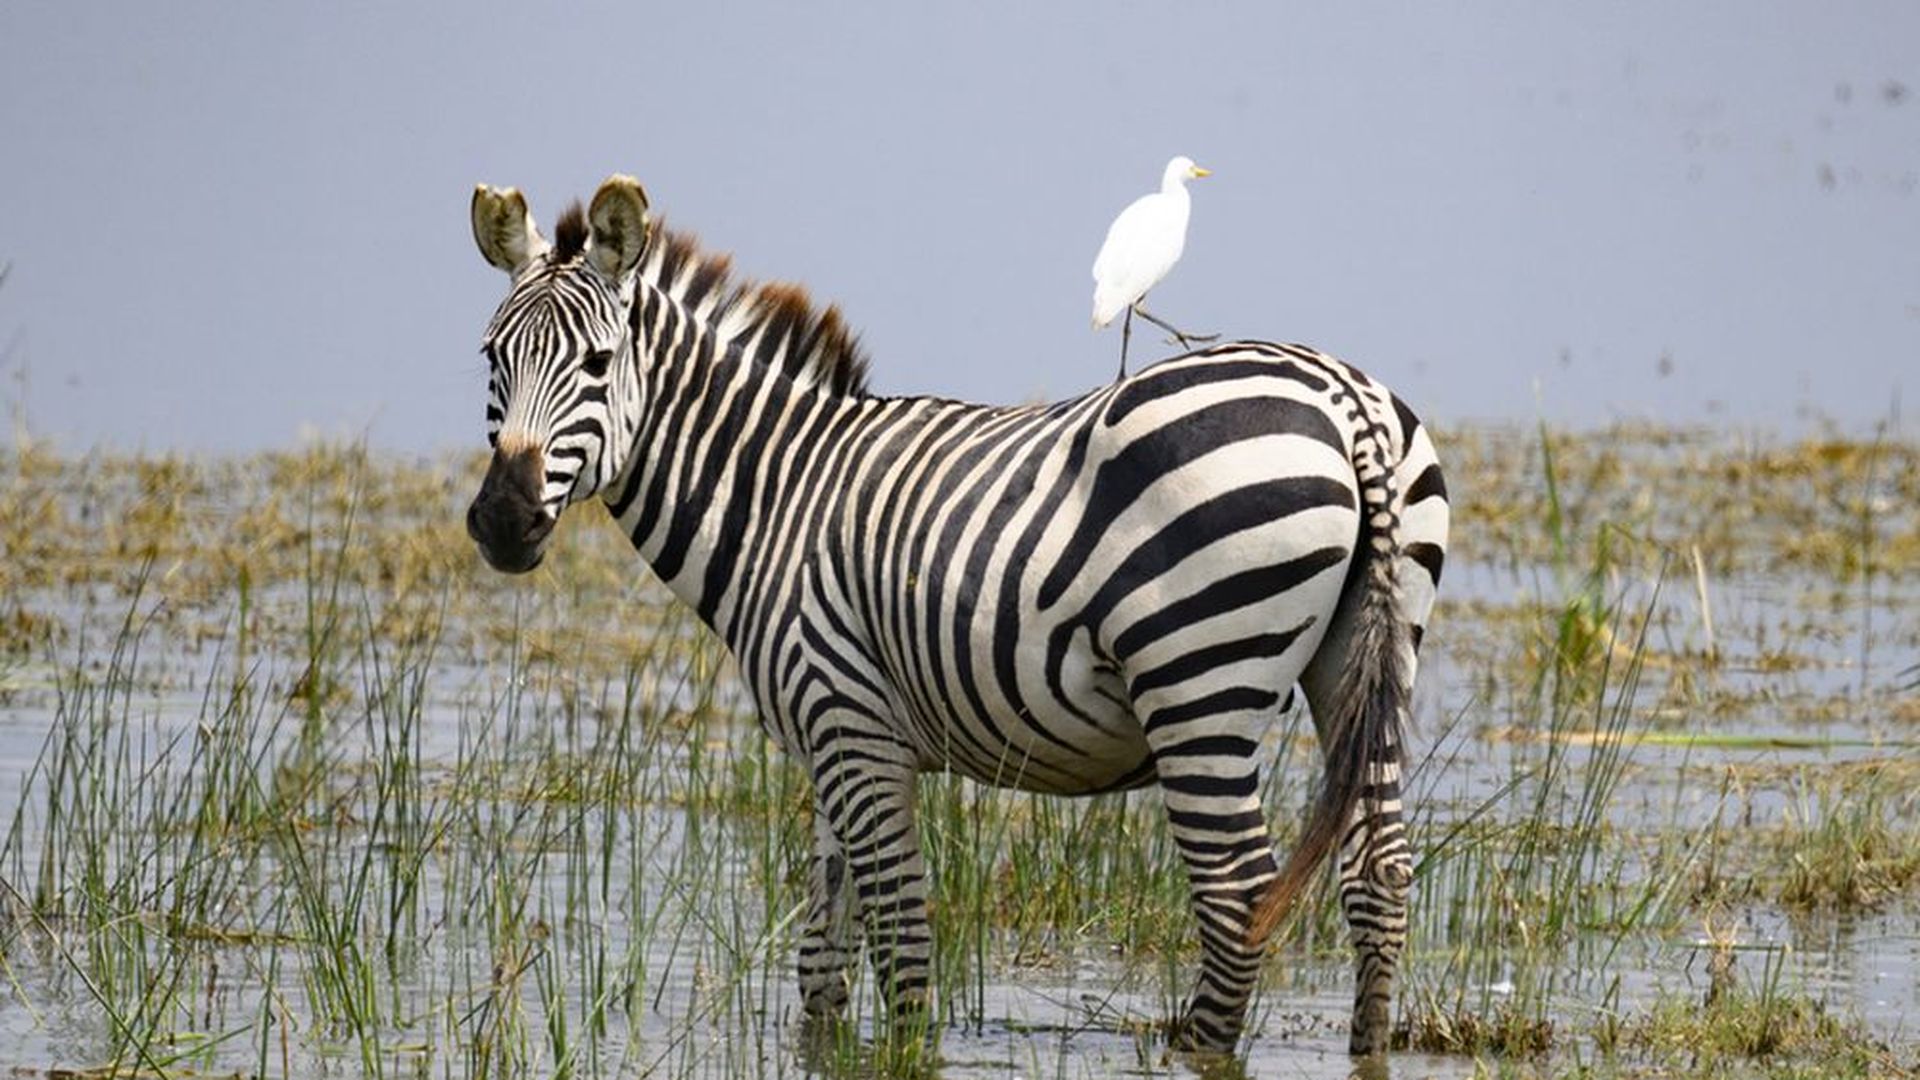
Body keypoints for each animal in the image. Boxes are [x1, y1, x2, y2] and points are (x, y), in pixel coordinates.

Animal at [464, 174, 1448, 1059]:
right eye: (489, 359)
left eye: (597, 365)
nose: (503, 522)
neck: (779, 495)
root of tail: (1344, 403)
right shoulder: (835, 741)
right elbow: (823, 963)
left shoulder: (851, 723)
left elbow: (901, 940)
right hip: (1368, 658)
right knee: (1380, 876)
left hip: (1198, 682)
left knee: (1238, 892)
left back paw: (1193, 1049)